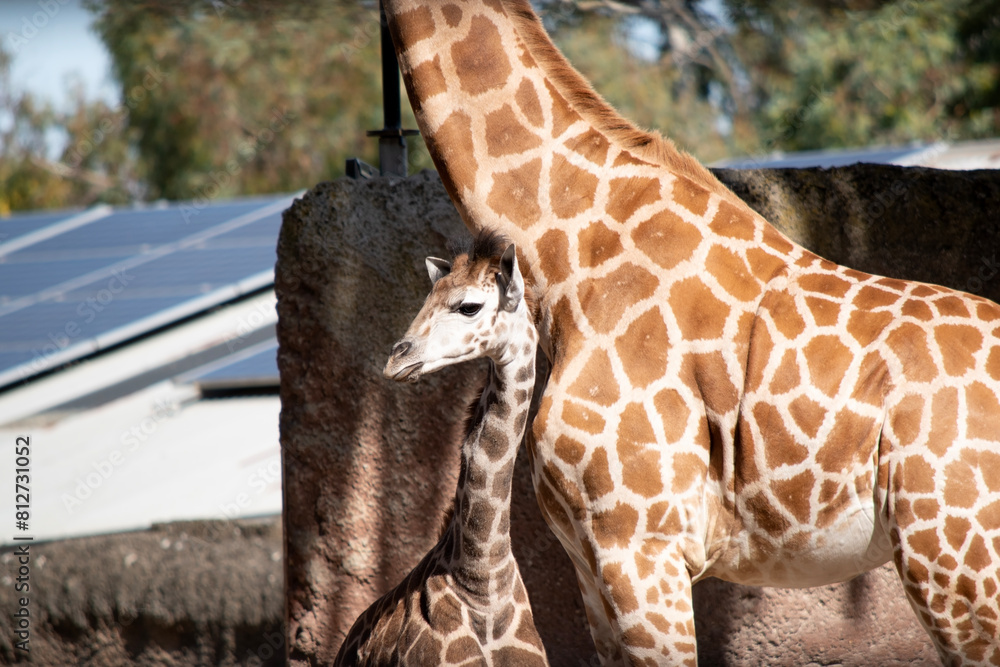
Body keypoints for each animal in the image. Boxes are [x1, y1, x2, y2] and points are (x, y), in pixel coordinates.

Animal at [380, 1, 1000, 664]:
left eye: (469, 307)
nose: (394, 360)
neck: (574, 265)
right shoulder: (590, 564)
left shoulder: (641, 546)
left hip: (952, 557)